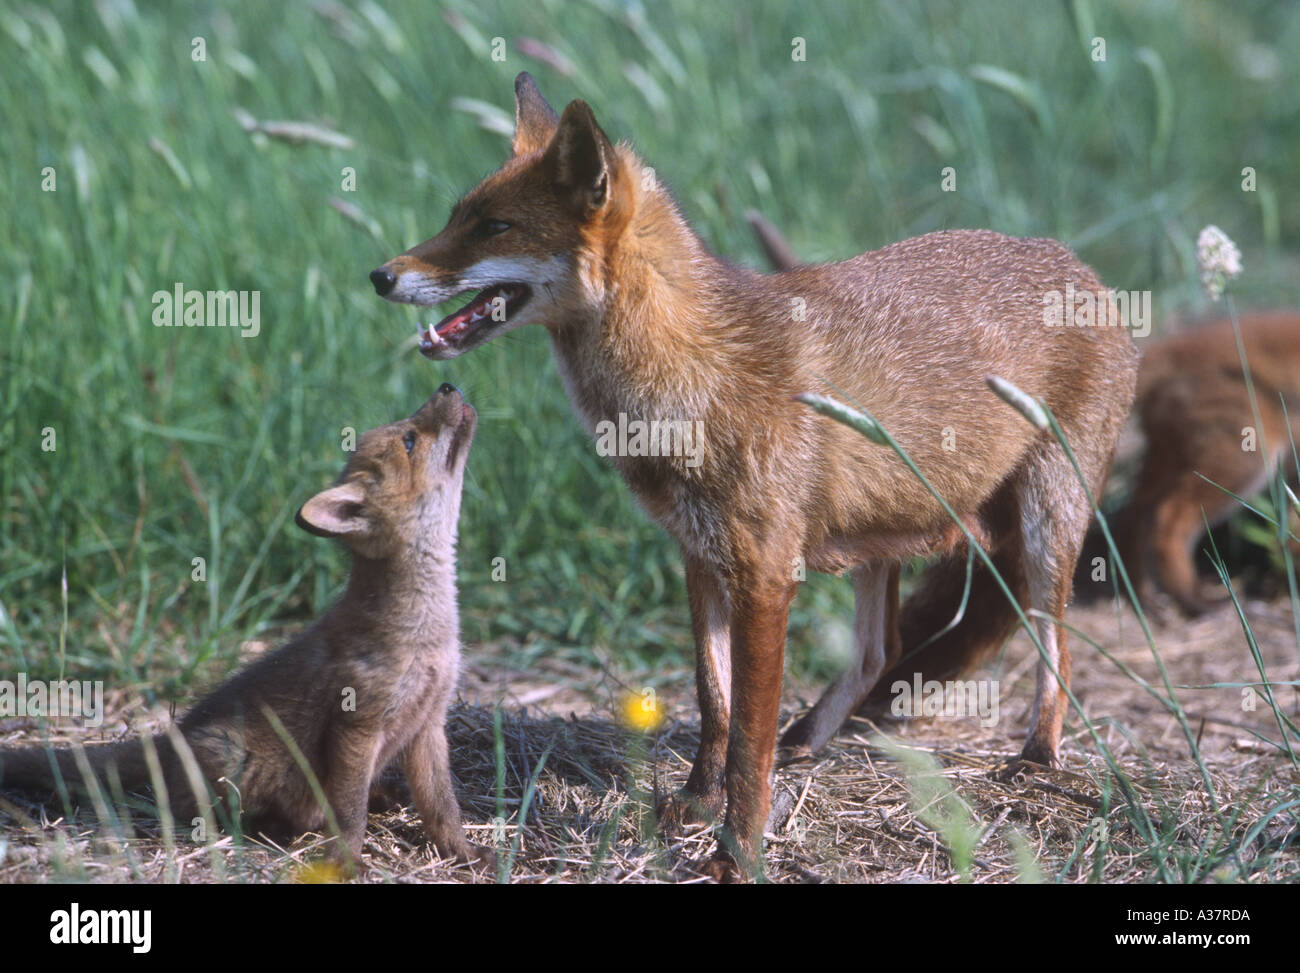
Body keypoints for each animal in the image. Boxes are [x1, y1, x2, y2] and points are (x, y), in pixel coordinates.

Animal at [1, 385, 484, 873]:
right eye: (409, 440)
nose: (447, 387)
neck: (426, 632)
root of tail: (172, 736)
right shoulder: (357, 727)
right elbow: (350, 813)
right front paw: (343, 862)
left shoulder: (428, 725)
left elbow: (442, 806)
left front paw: (463, 853)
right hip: (234, 757)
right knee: (204, 807)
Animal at [369, 73, 1139, 880]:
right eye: (455, 217)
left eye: (494, 227)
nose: (380, 275)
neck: (688, 377)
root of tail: (1076, 262)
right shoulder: (700, 554)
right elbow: (716, 705)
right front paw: (696, 800)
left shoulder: (766, 575)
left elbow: (748, 738)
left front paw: (737, 848)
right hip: (881, 537)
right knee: (882, 650)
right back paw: (809, 740)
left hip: (1048, 523)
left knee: (1055, 641)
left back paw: (1039, 754)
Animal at [1109, 311, 1300, 617]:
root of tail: (1168, 351)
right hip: (1245, 458)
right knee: (1169, 520)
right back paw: (1195, 600)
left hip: (1170, 457)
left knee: (1131, 514)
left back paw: (1143, 597)